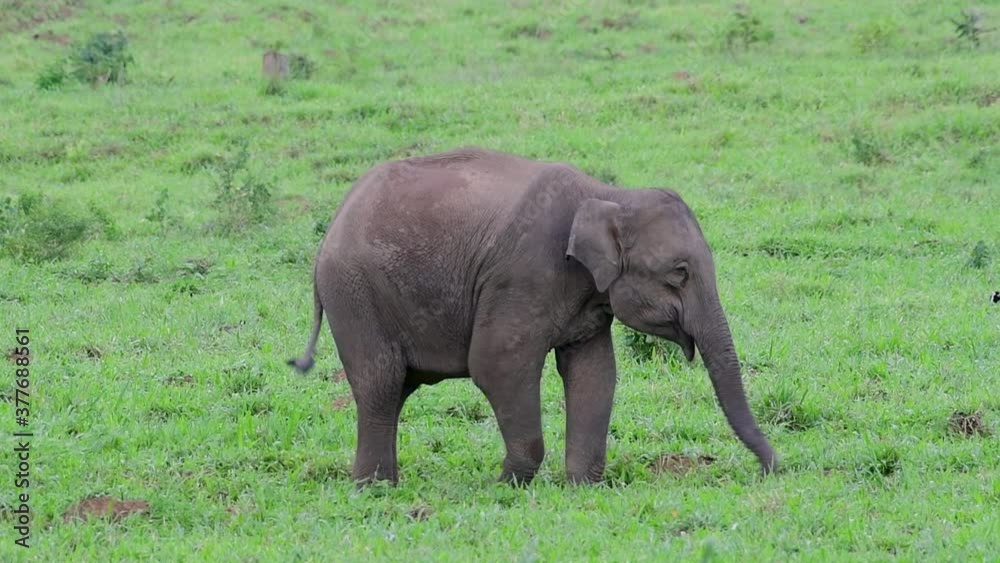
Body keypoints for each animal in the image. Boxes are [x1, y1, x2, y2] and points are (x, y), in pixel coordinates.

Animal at [289, 148, 777, 485]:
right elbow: (497, 364)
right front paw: (506, 485)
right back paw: (374, 489)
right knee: (381, 382)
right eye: (679, 273)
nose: (772, 468)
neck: (608, 196)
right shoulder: (524, 274)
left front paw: (581, 486)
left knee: (395, 388)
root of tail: (331, 229)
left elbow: (595, 372)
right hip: (355, 294)